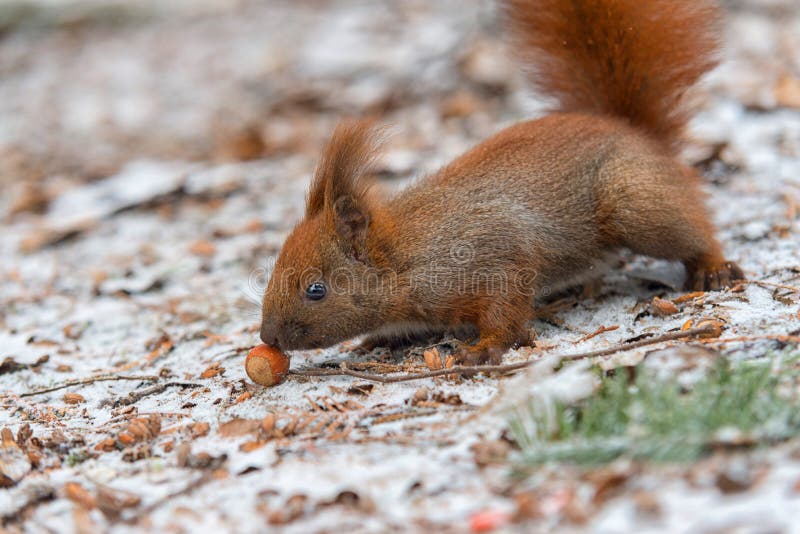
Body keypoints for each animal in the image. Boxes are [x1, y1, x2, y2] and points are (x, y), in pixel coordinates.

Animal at [259, 0, 744, 364]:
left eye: (316, 290)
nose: (267, 337)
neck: (404, 255)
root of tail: (631, 130)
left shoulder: (488, 255)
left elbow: (504, 305)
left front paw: (484, 348)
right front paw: (377, 339)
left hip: (633, 203)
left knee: (690, 230)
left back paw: (713, 267)